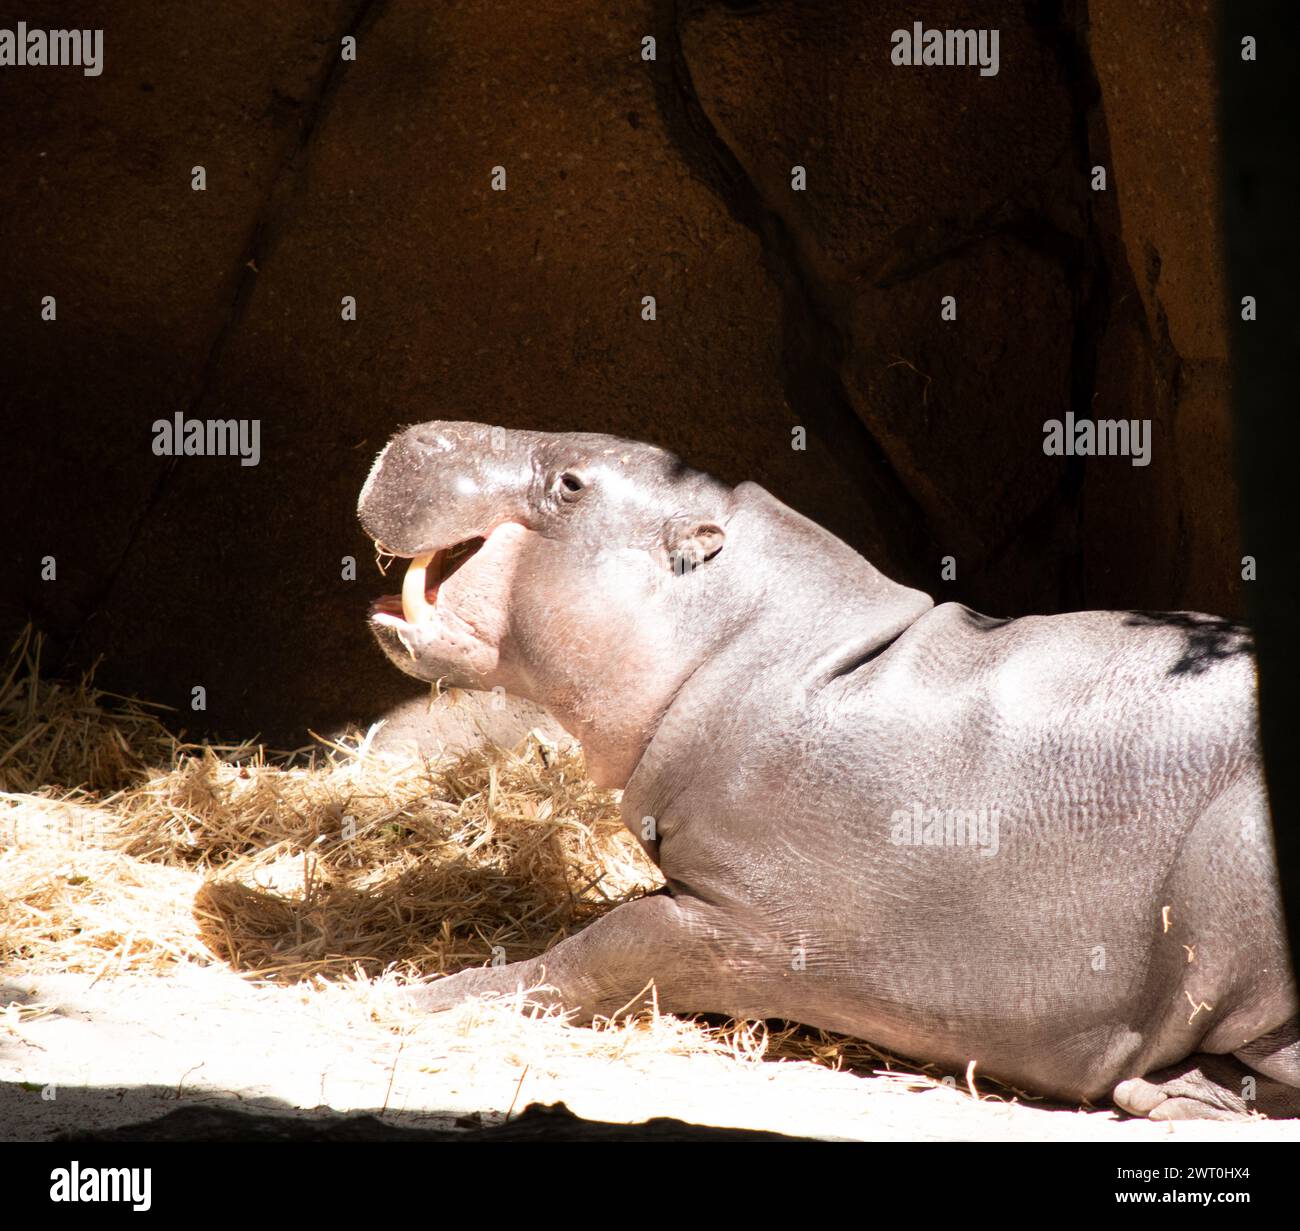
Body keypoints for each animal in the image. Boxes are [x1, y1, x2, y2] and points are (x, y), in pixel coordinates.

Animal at [356, 421, 1299, 1121]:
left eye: (571, 483)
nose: (417, 431)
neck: (753, 638)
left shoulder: (745, 922)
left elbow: (607, 944)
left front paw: (418, 995)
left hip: (1232, 877)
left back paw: (1165, 1093)